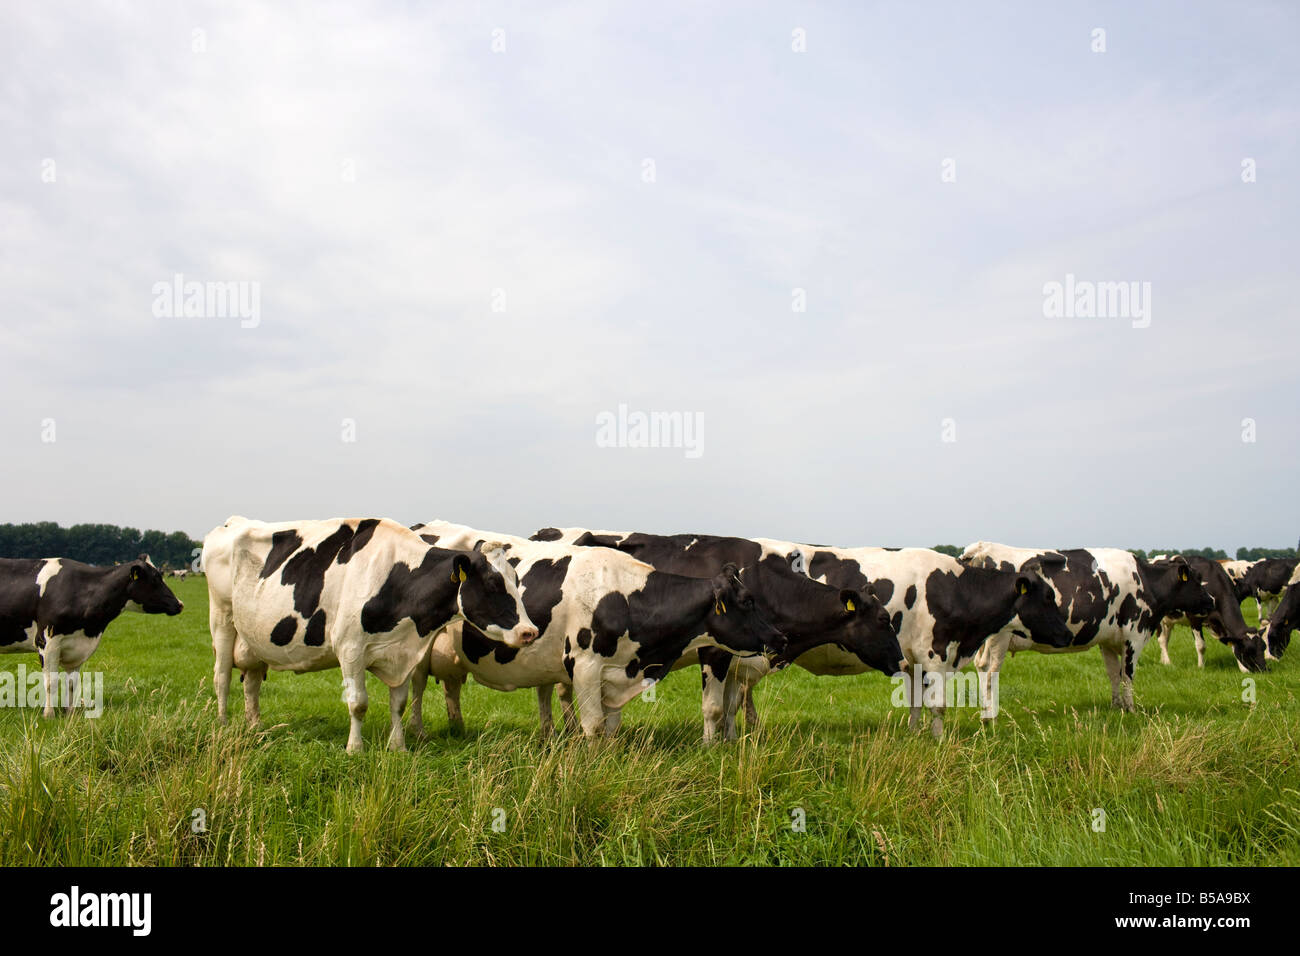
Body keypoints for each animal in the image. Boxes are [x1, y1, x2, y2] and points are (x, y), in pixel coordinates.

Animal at [0, 554, 183, 717]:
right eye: (155, 580)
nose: (179, 604)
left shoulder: (77, 647)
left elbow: (72, 684)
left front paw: (69, 713)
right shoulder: (47, 642)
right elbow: (51, 682)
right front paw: (49, 715)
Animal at [202, 516, 537, 752]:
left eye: (516, 578)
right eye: (493, 584)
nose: (529, 631)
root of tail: (233, 522)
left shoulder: (404, 653)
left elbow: (398, 703)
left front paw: (398, 747)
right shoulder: (349, 648)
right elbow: (358, 702)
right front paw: (355, 748)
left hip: (253, 636)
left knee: (251, 682)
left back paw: (254, 726)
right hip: (222, 616)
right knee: (222, 676)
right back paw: (223, 723)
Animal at [408, 521, 789, 740]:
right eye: (748, 601)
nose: (780, 637)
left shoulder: (617, 671)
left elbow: (610, 726)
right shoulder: (586, 666)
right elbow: (593, 727)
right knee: (415, 686)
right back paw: (418, 733)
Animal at [960, 542, 1217, 711]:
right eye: (1196, 580)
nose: (1212, 600)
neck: (1146, 580)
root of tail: (981, 548)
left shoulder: (1109, 640)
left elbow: (1114, 673)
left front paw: (1116, 706)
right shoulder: (1135, 634)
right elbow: (1128, 675)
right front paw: (1131, 709)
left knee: (980, 666)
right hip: (998, 638)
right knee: (989, 669)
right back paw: (990, 711)